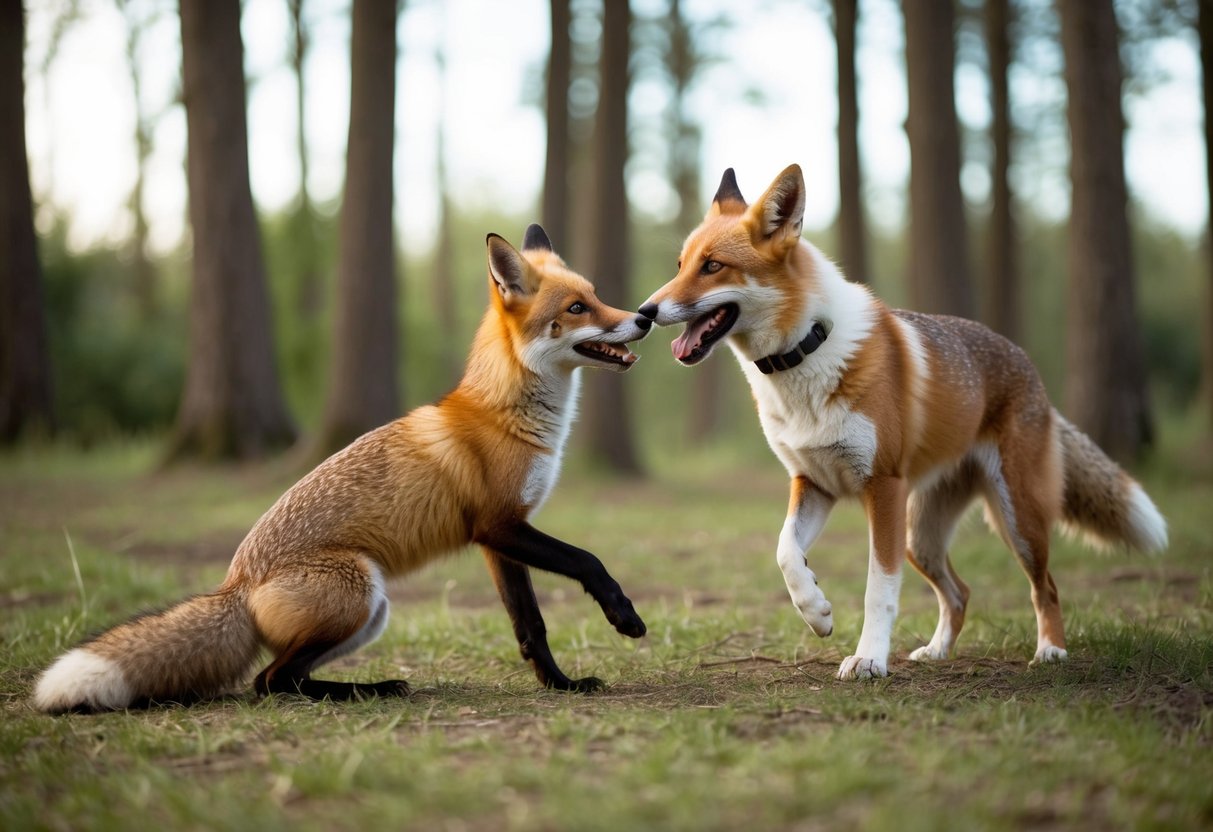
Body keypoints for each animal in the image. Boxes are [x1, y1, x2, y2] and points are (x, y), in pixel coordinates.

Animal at [34, 224, 652, 713]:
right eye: (577, 309)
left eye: (597, 296)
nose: (643, 317)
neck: (507, 416)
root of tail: (236, 584)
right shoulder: (499, 524)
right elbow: (588, 560)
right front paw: (623, 617)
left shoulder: (500, 540)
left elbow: (531, 627)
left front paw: (560, 685)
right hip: (361, 592)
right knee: (270, 681)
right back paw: (369, 690)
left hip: (371, 611)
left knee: (281, 678)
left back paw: (369, 688)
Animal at [638, 165, 1168, 680]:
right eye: (680, 266)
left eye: (712, 266)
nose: (644, 312)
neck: (808, 350)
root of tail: (1027, 365)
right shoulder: (813, 483)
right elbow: (786, 553)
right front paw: (816, 611)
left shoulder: (883, 487)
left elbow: (879, 589)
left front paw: (869, 660)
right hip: (922, 538)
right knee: (960, 593)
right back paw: (936, 652)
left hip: (1016, 519)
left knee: (1047, 587)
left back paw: (1051, 651)